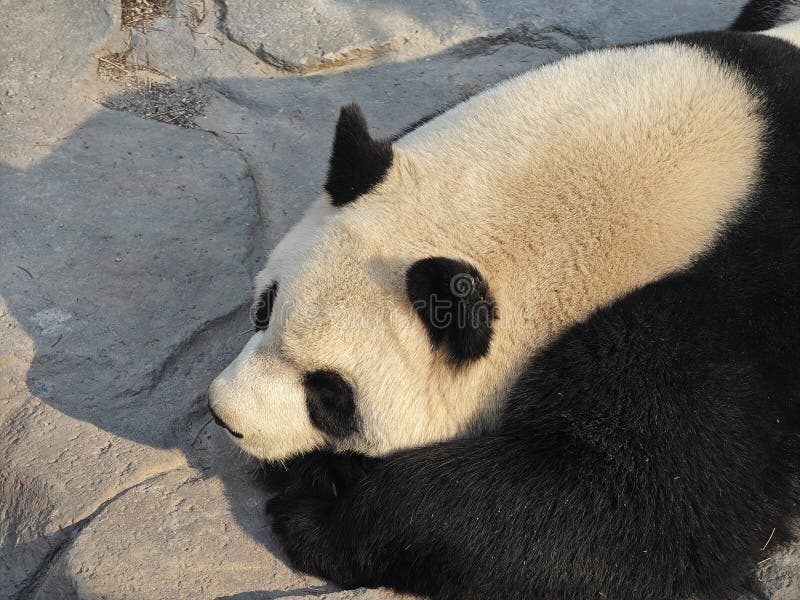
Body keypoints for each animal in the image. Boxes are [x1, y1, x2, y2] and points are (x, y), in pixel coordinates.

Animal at [208, 1, 800, 599]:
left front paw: (319, 505)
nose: (225, 416)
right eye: (263, 309)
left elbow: (626, 516)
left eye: (329, 395)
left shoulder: (712, 315)